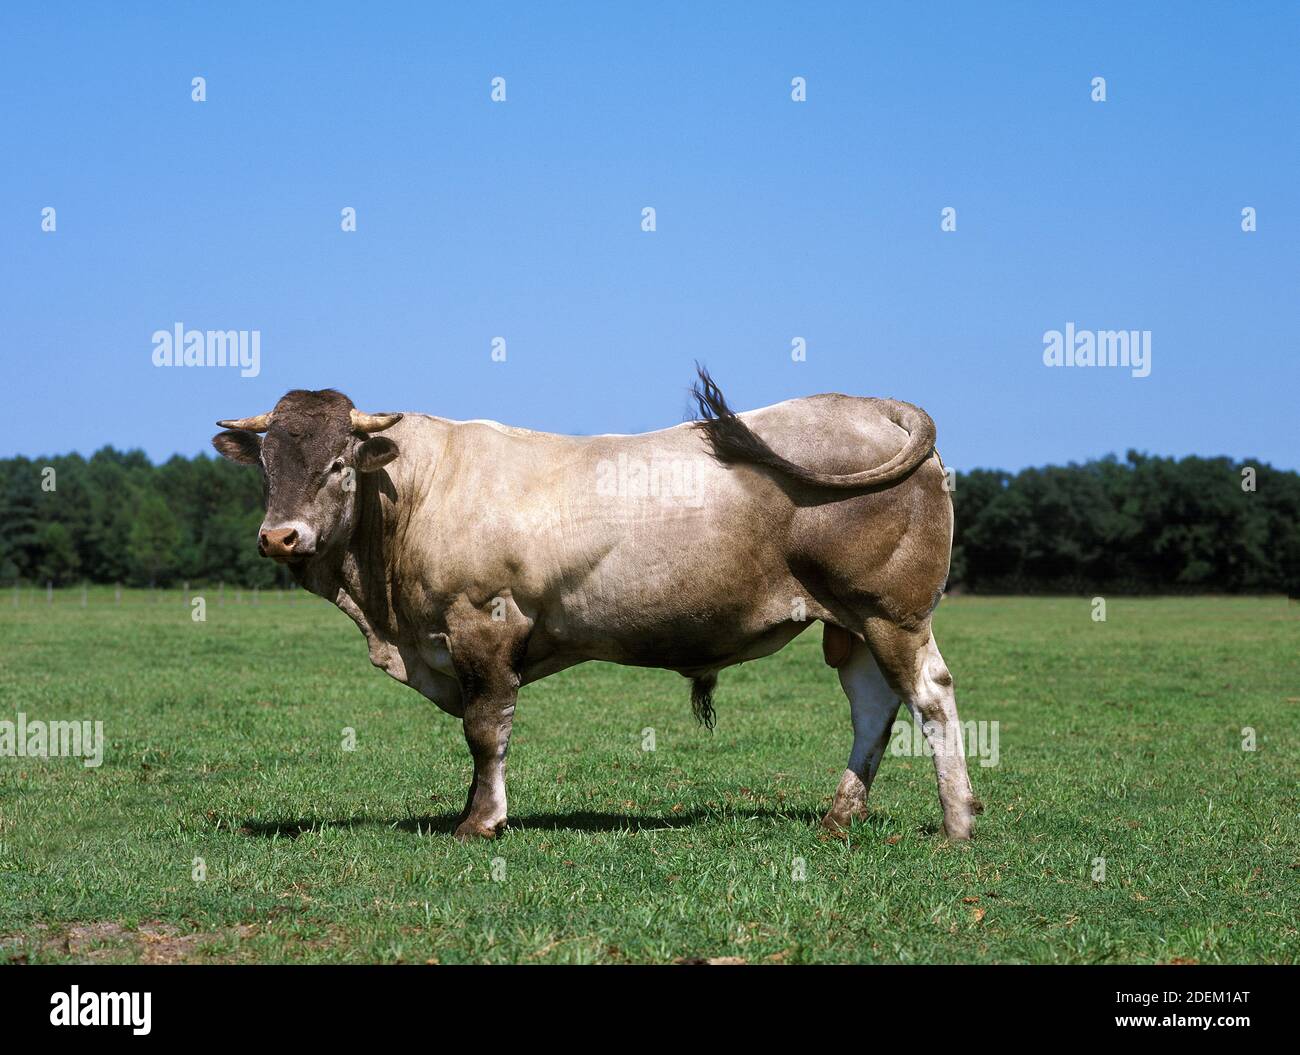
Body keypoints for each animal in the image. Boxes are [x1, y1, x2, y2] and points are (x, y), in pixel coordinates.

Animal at [212, 369, 981, 840]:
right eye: (267, 465)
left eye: (339, 464)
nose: (280, 535)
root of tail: (867, 403)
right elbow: (475, 730)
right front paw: (469, 807)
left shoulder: (483, 621)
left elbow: (485, 728)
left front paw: (481, 821)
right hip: (850, 623)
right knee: (874, 708)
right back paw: (840, 816)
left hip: (893, 612)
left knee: (931, 696)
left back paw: (958, 824)